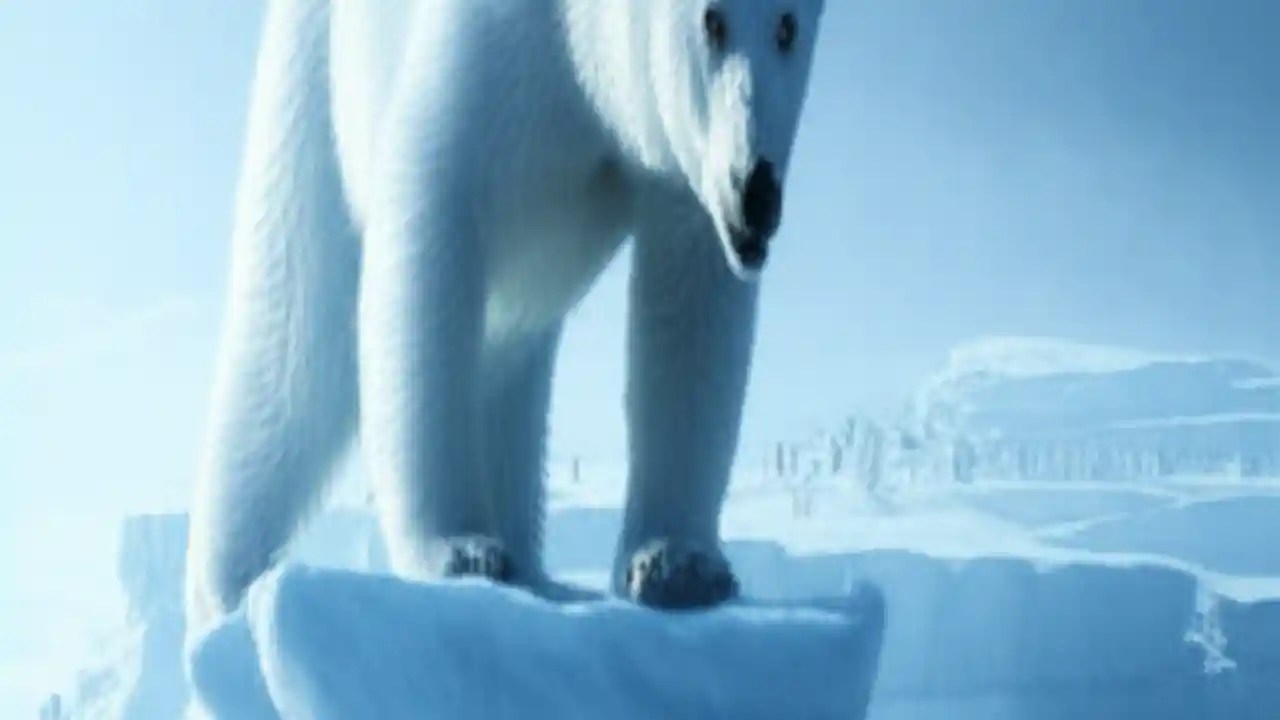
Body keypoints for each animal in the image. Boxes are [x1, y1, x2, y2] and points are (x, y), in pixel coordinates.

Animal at [184, 0, 825, 639]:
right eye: (711, 22)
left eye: (788, 26)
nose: (756, 194)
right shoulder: (486, 53)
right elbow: (428, 234)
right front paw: (459, 551)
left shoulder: (673, 174)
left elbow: (689, 308)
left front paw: (679, 566)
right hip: (311, 88)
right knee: (297, 348)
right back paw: (226, 591)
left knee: (505, 356)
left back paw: (537, 573)